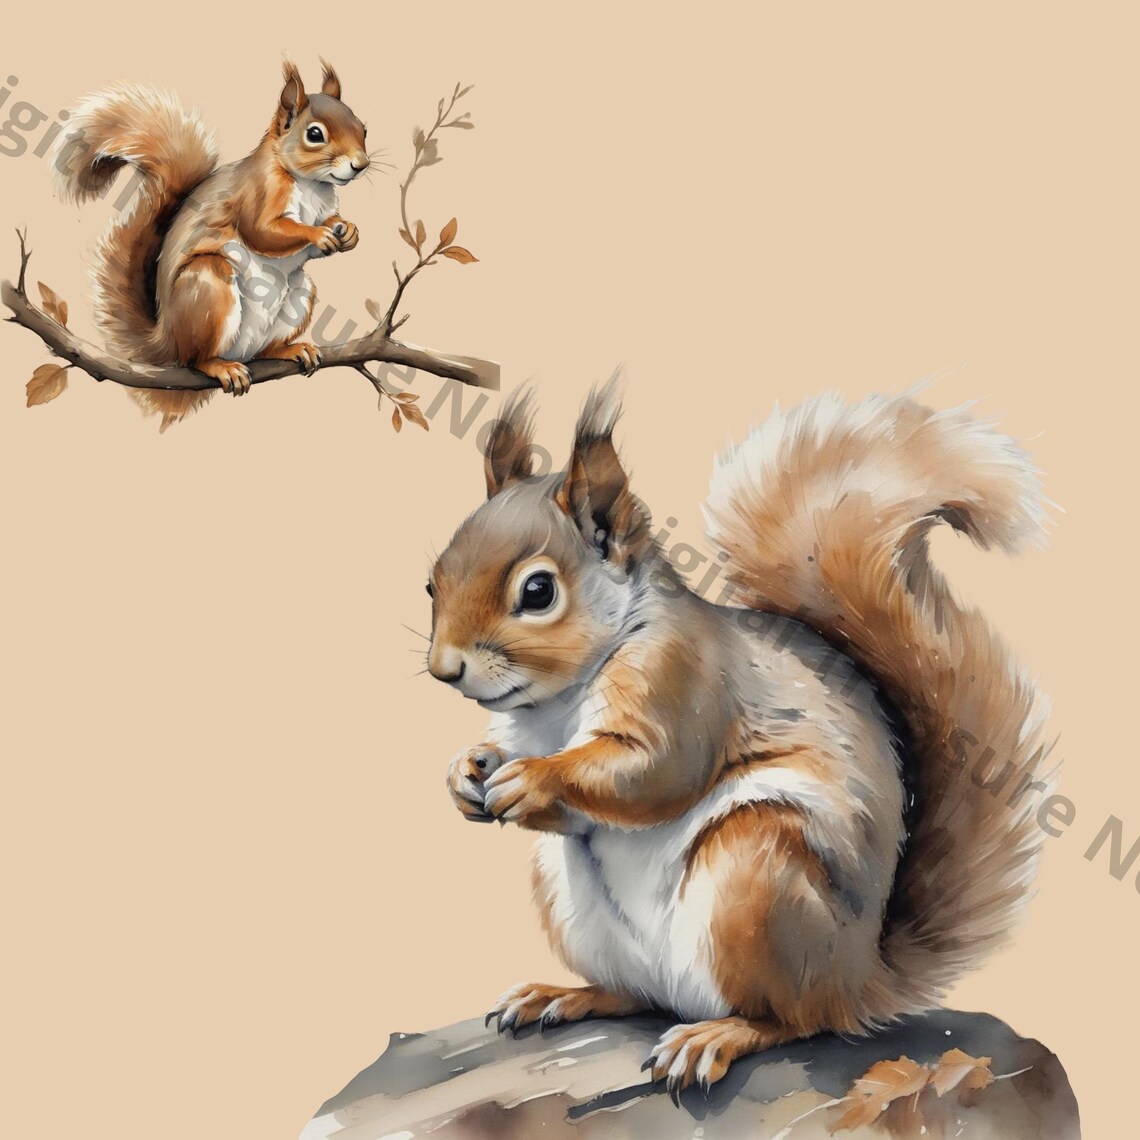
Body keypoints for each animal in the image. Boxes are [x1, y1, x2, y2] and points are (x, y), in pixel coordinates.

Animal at [50, 61, 370, 432]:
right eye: (315, 134)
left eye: (363, 128)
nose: (360, 165)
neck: (311, 184)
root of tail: (165, 342)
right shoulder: (258, 193)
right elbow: (263, 232)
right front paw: (317, 234)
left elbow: (328, 224)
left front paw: (349, 231)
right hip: (208, 284)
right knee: (195, 358)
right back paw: (219, 366)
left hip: (299, 293)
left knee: (261, 349)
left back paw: (289, 350)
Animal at [426, 380, 1053, 1095]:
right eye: (432, 580)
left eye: (537, 591)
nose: (444, 669)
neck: (556, 701)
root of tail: (860, 980)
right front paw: (466, 772)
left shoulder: (683, 681)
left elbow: (654, 772)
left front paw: (533, 779)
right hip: (580, 911)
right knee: (640, 995)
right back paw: (562, 996)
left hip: (757, 876)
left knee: (795, 1019)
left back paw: (716, 1036)